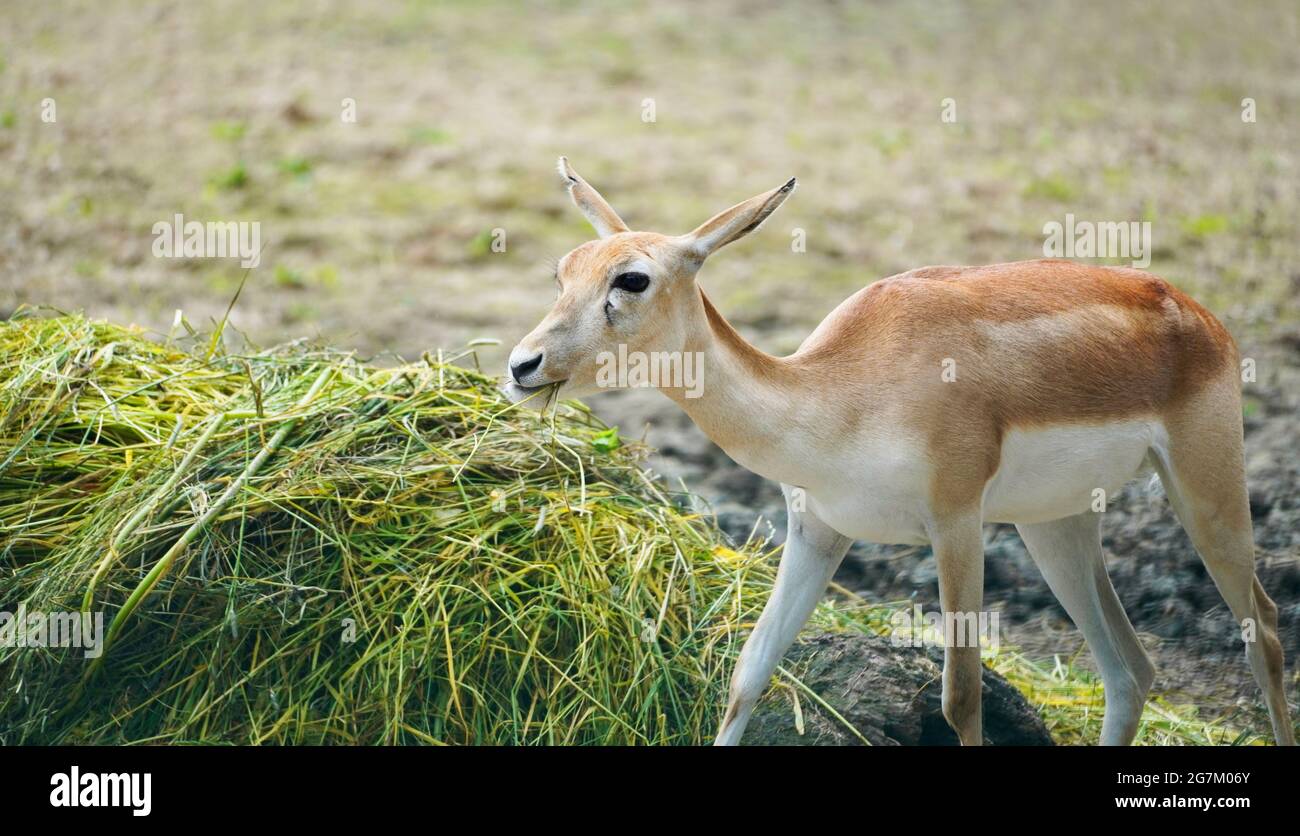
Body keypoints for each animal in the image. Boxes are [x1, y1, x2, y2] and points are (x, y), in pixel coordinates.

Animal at [504, 158, 1296, 746]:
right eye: (563, 270)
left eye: (631, 278)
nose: (523, 365)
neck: (840, 394)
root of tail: (1197, 314)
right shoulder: (816, 530)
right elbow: (749, 672)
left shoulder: (955, 523)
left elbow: (960, 698)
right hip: (1057, 524)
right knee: (1130, 671)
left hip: (1206, 490)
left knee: (1264, 634)